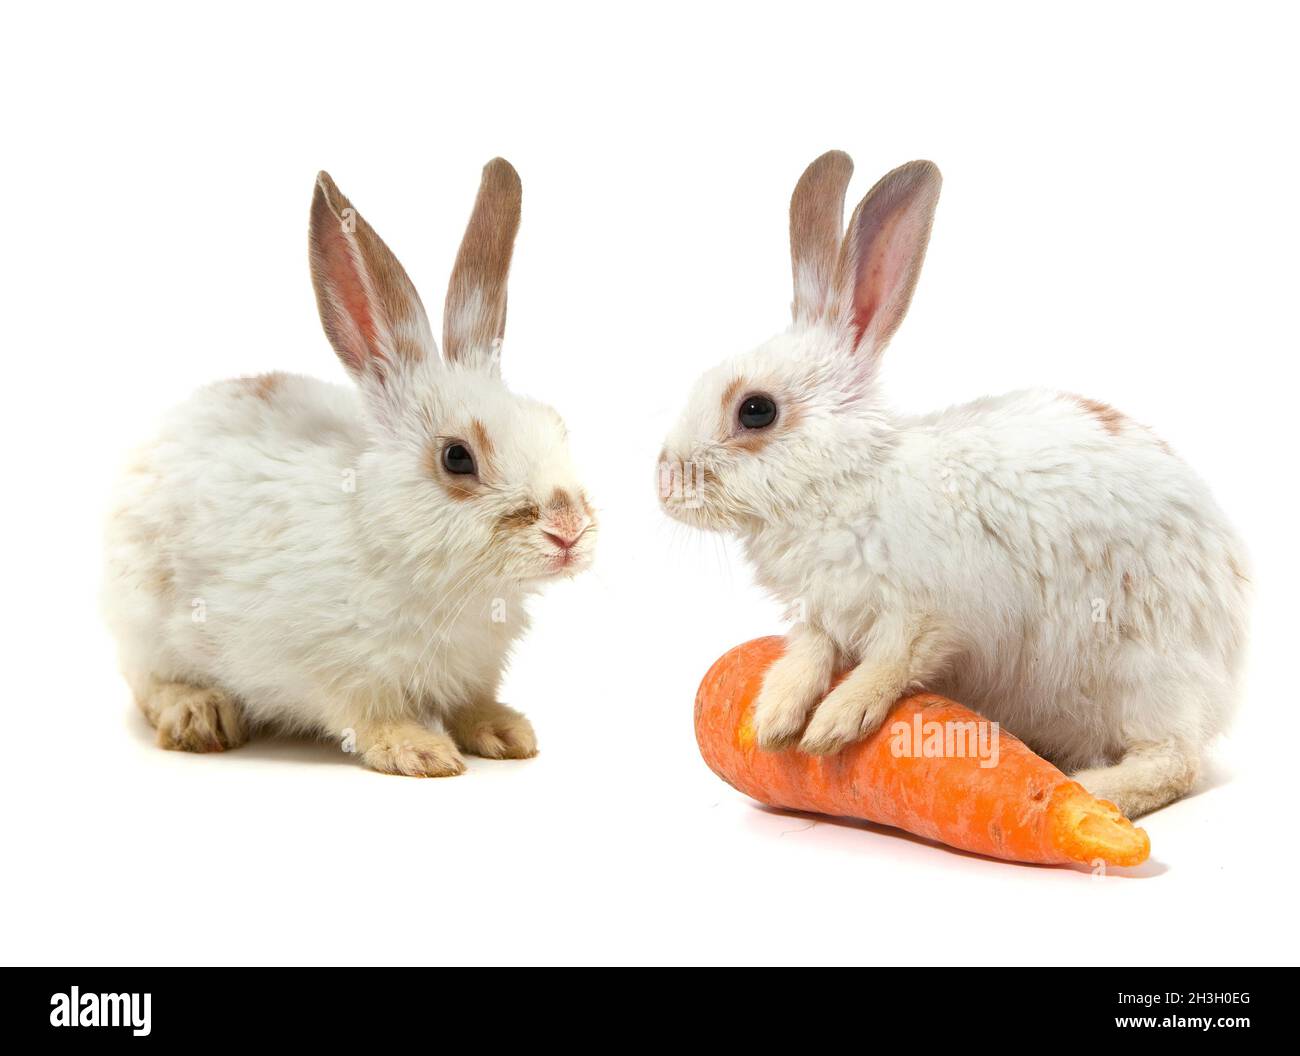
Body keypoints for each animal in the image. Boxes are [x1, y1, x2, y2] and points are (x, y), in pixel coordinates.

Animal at [103, 159, 596, 776]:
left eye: (555, 425)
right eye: (457, 457)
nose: (569, 530)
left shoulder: (476, 669)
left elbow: (472, 703)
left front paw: (507, 734)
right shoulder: (332, 669)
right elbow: (366, 715)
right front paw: (419, 751)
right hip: (142, 621)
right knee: (148, 682)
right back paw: (199, 714)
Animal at [658, 151, 1249, 818]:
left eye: (756, 410)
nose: (664, 481)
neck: (845, 483)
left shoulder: (933, 612)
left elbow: (892, 662)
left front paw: (836, 722)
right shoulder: (821, 616)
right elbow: (806, 655)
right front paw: (776, 720)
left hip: (1141, 672)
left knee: (1175, 762)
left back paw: (1089, 790)